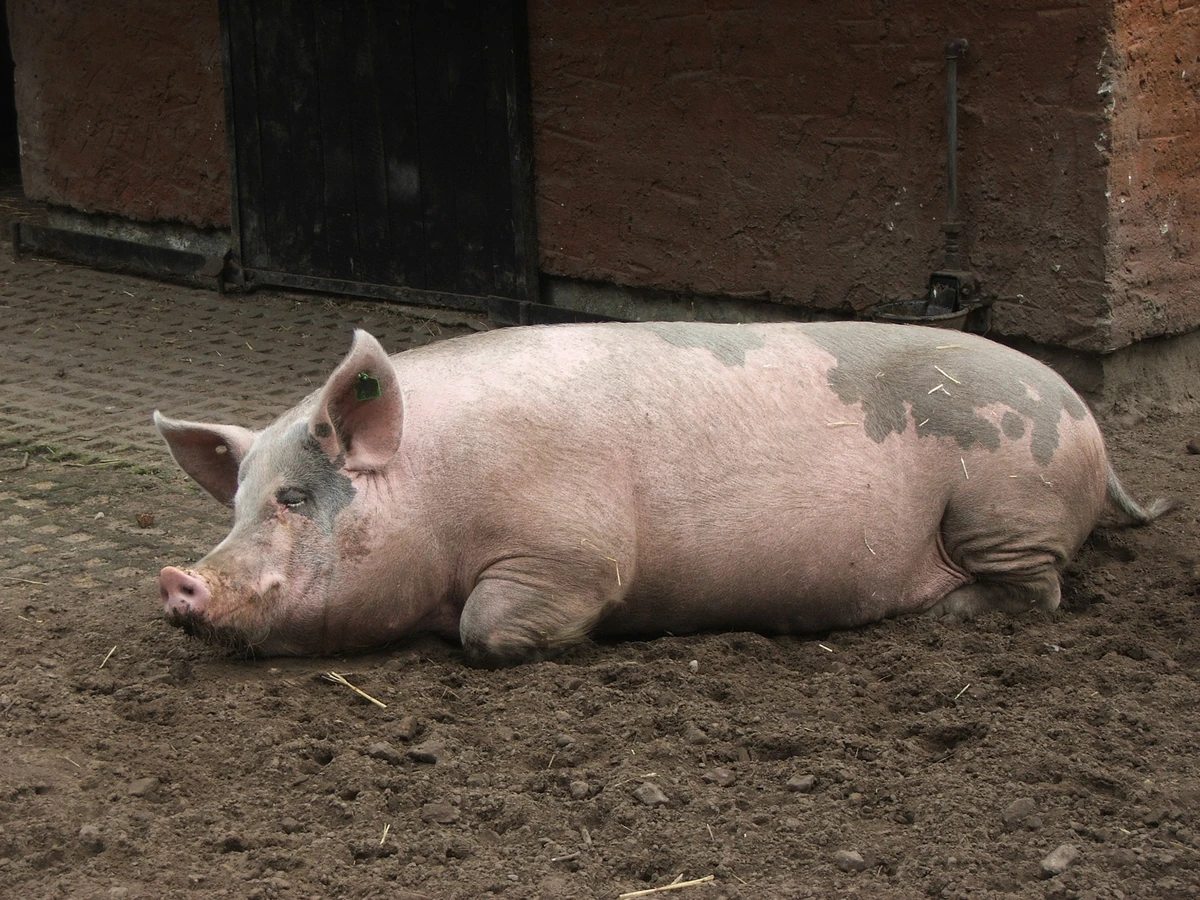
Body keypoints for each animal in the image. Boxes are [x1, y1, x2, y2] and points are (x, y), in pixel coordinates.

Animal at [154, 321, 1171, 663]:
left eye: (294, 499)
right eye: (238, 504)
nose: (176, 579)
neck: (438, 488)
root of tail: (1080, 407)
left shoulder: (573, 551)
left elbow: (489, 629)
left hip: (1006, 504)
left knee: (1040, 589)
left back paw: (951, 615)